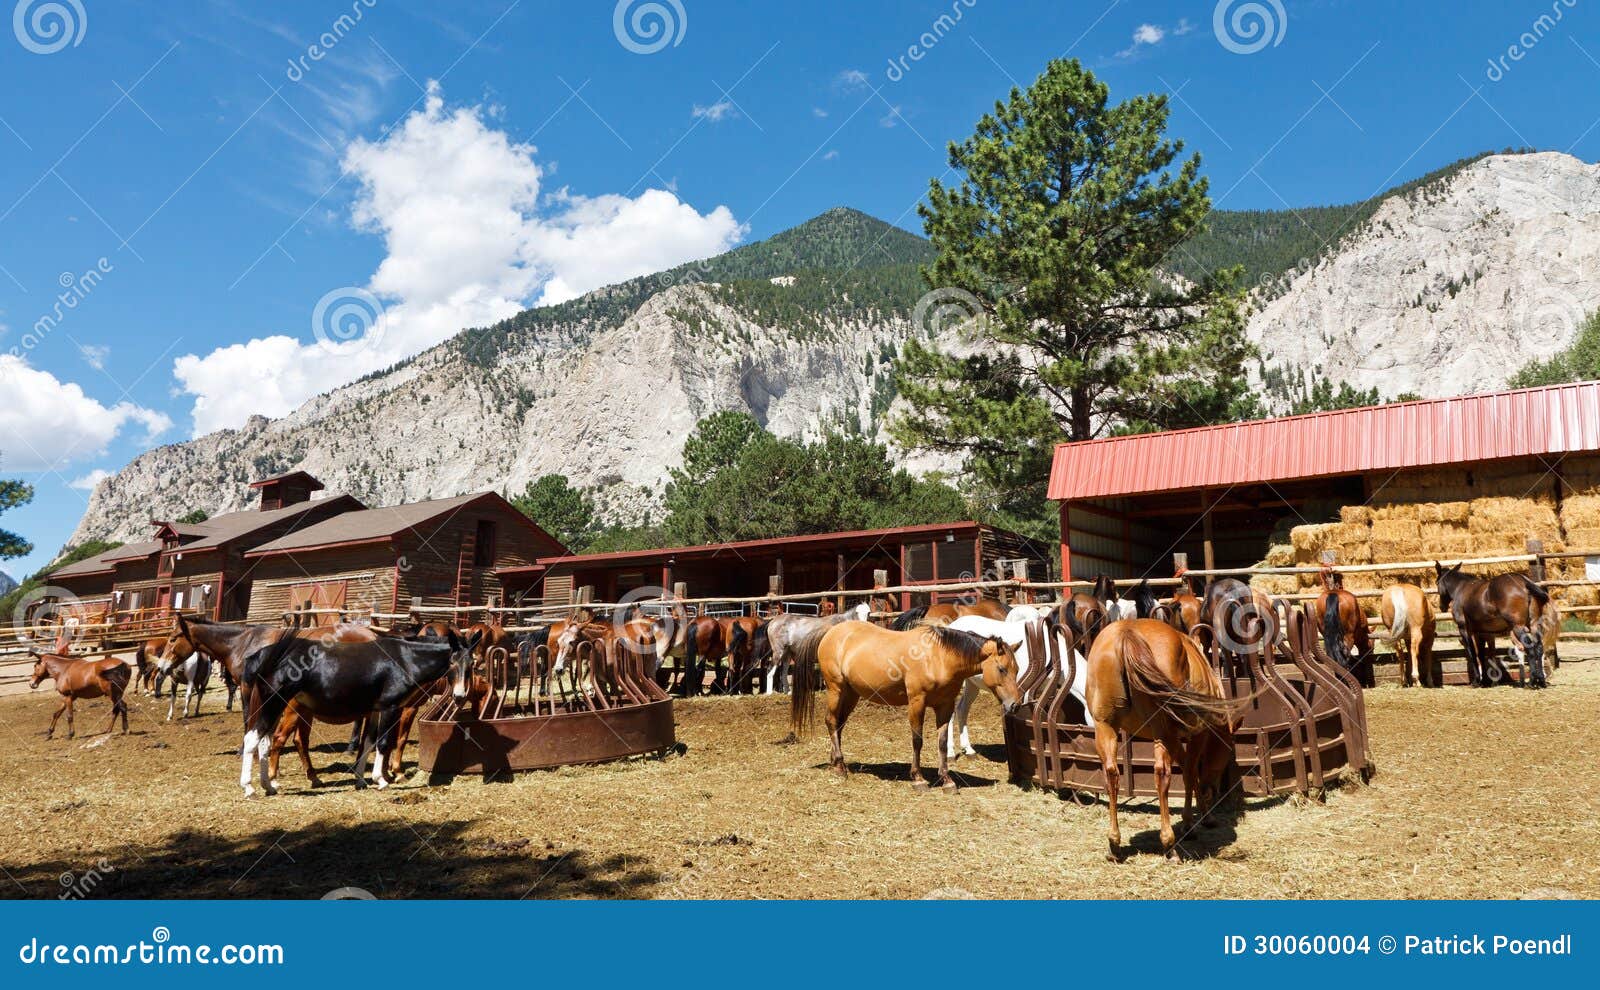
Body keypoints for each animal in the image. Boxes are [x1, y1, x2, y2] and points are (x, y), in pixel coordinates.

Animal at [238, 630, 478, 796]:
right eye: (452, 662)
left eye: (472, 664)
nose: (459, 696)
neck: (404, 658)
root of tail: (264, 653)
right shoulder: (390, 708)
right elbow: (383, 743)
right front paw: (381, 780)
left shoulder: (374, 710)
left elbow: (368, 742)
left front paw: (361, 780)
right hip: (274, 704)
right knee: (252, 739)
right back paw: (249, 788)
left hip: (275, 706)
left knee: (264, 742)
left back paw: (268, 786)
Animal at [789, 621, 1021, 790]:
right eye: (1001, 669)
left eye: (1017, 669)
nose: (1015, 705)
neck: (939, 657)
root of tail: (831, 631)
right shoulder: (917, 702)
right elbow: (917, 740)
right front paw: (918, 778)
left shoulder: (945, 706)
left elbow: (942, 741)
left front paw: (946, 780)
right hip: (835, 689)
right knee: (830, 721)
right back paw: (840, 767)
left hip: (851, 694)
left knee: (838, 724)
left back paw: (836, 763)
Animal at [1084, 620, 1238, 859]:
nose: (1213, 788)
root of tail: (1127, 632)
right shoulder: (1197, 735)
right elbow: (1189, 772)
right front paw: (1195, 822)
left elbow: (1187, 769)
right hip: (1161, 732)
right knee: (1162, 774)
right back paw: (1169, 843)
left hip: (1105, 727)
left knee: (1111, 775)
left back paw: (1114, 844)